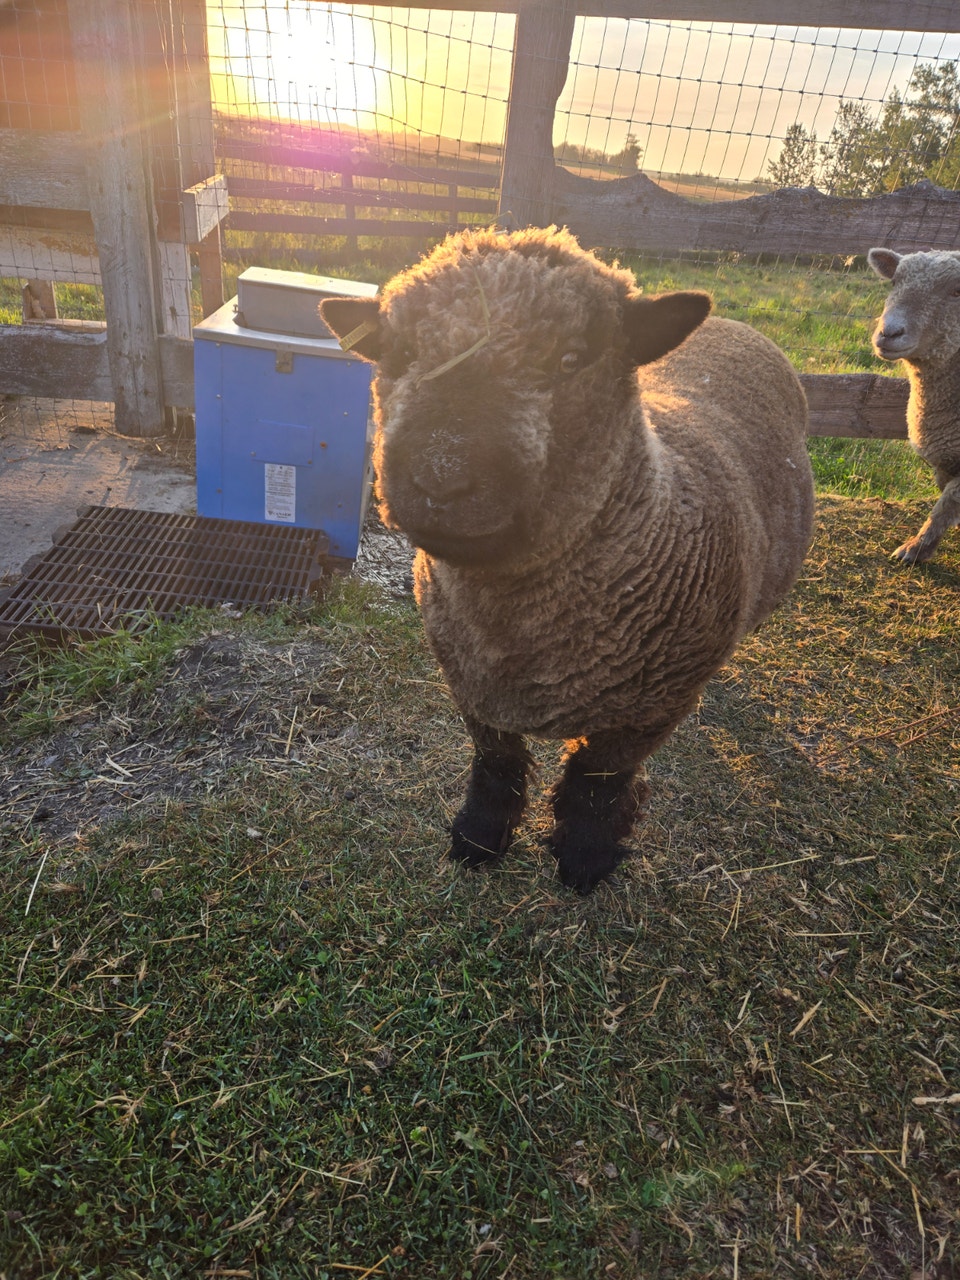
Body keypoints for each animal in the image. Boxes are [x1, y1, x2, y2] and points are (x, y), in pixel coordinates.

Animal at [320, 226, 814, 894]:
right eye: (397, 353)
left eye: (571, 359)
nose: (441, 478)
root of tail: (733, 322)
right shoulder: (473, 688)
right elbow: (496, 764)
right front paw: (479, 837)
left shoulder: (644, 716)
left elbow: (595, 785)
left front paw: (585, 857)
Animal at [868, 246, 960, 564]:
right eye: (895, 282)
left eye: (957, 291)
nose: (889, 332)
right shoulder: (945, 456)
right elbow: (946, 498)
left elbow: (946, 504)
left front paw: (916, 549)